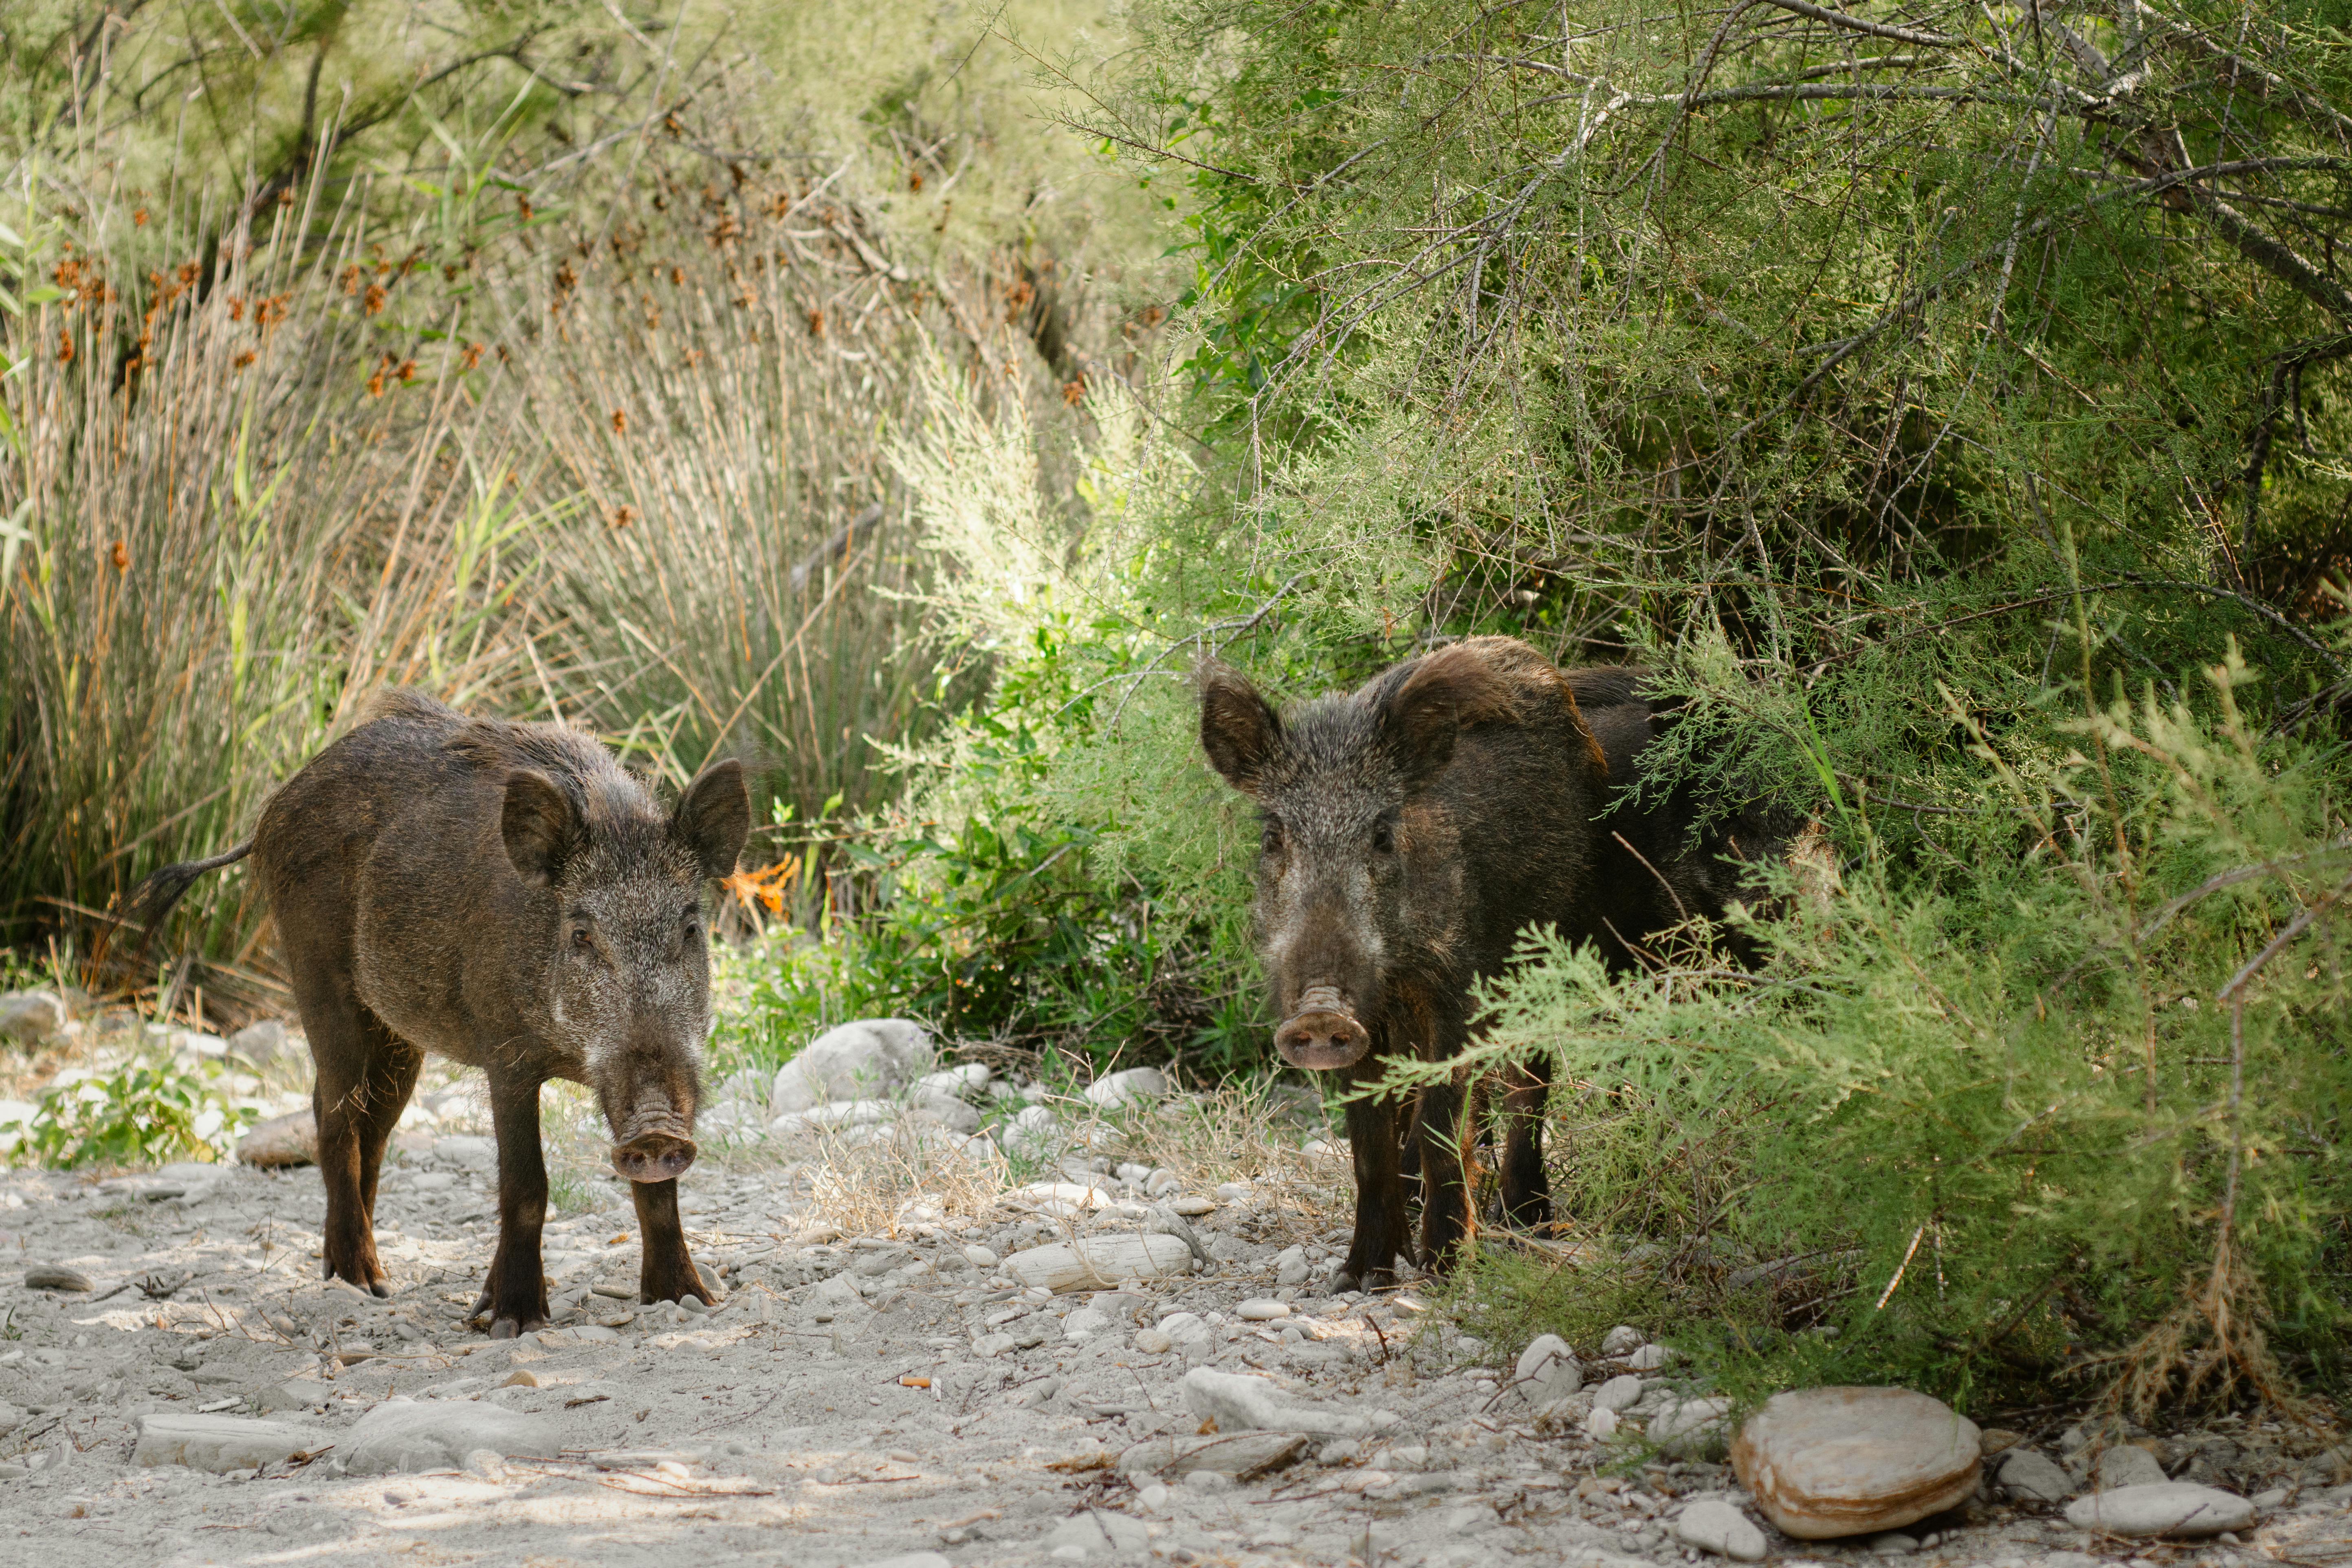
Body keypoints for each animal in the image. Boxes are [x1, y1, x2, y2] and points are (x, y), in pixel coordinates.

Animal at [123, 690, 749, 1336]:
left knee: (371, 1130)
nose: (656, 1128)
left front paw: (687, 1300)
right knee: (332, 1117)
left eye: (690, 927)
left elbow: (659, 1190)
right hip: (319, 985)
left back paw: (366, 1273)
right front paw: (512, 1322)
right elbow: (526, 1184)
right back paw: (363, 1283)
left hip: (399, 1040)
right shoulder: (506, 1056)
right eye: (582, 934)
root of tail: (274, 807)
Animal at [1197, 637, 1785, 1291]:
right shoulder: (1372, 1022)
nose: (1321, 1012)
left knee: (1528, 1085)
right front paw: (1361, 1277)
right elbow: (1367, 1141)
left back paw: (1529, 1224)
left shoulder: (1458, 987)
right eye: (1274, 837)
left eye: (1381, 834)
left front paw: (1444, 1272)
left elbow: (1439, 1120)